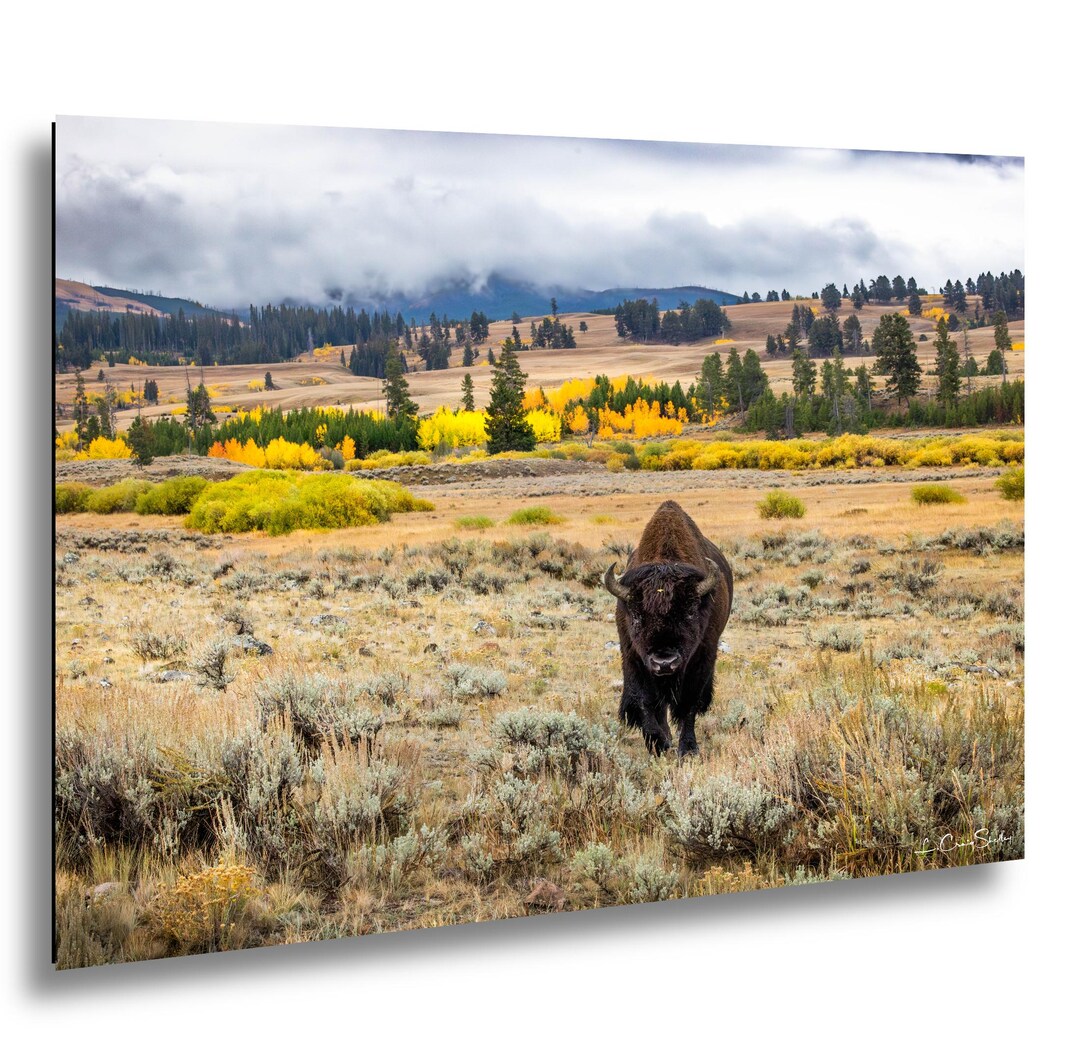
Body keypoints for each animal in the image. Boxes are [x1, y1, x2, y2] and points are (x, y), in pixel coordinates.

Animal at [603, 500, 733, 756]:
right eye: (636, 616)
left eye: (690, 612)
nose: (664, 662)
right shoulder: (635, 658)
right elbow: (647, 701)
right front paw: (658, 744)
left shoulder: (700, 660)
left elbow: (688, 705)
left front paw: (688, 749)